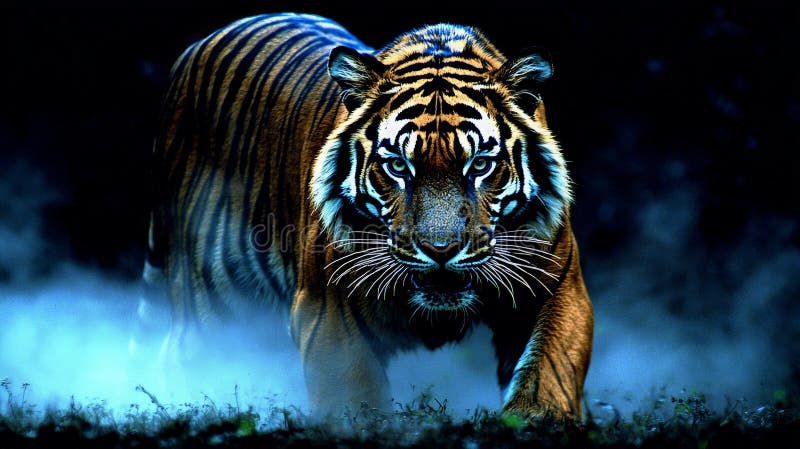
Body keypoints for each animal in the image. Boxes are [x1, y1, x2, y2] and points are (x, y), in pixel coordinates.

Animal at [137, 12, 594, 421]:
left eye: (480, 164)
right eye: (398, 166)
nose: (440, 250)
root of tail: (197, 46)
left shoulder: (559, 289)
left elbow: (548, 371)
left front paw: (536, 421)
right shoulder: (327, 308)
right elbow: (353, 394)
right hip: (209, 302)